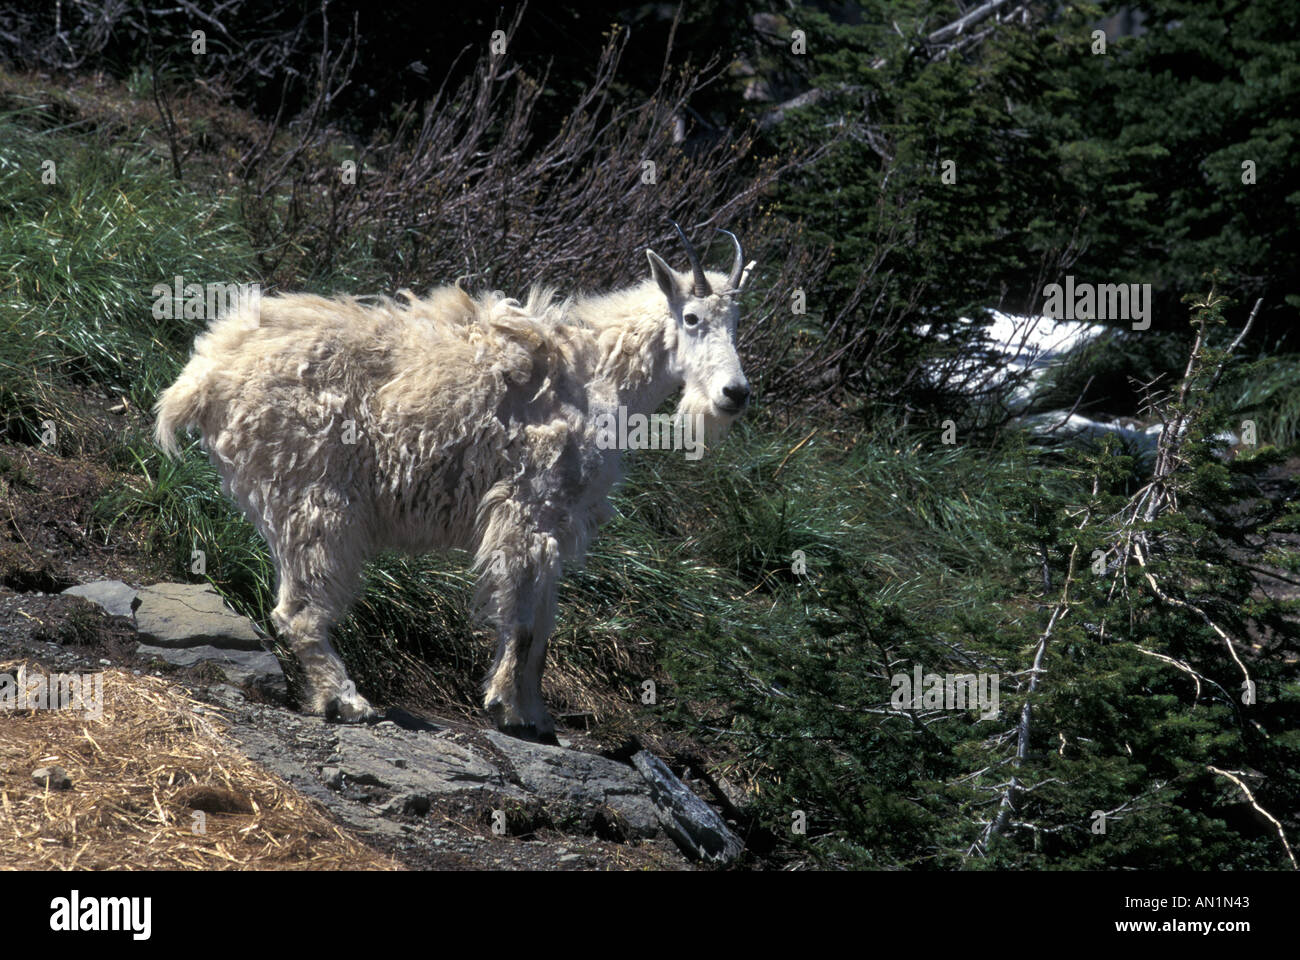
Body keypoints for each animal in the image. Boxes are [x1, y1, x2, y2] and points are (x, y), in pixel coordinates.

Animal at [154, 225, 754, 741]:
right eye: (692, 317)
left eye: (735, 323)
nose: (735, 394)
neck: (599, 377)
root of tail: (200, 379)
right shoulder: (528, 507)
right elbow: (522, 620)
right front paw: (509, 710)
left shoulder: (558, 520)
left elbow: (544, 622)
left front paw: (537, 716)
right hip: (313, 495)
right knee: (298, 610)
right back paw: (347, 701)